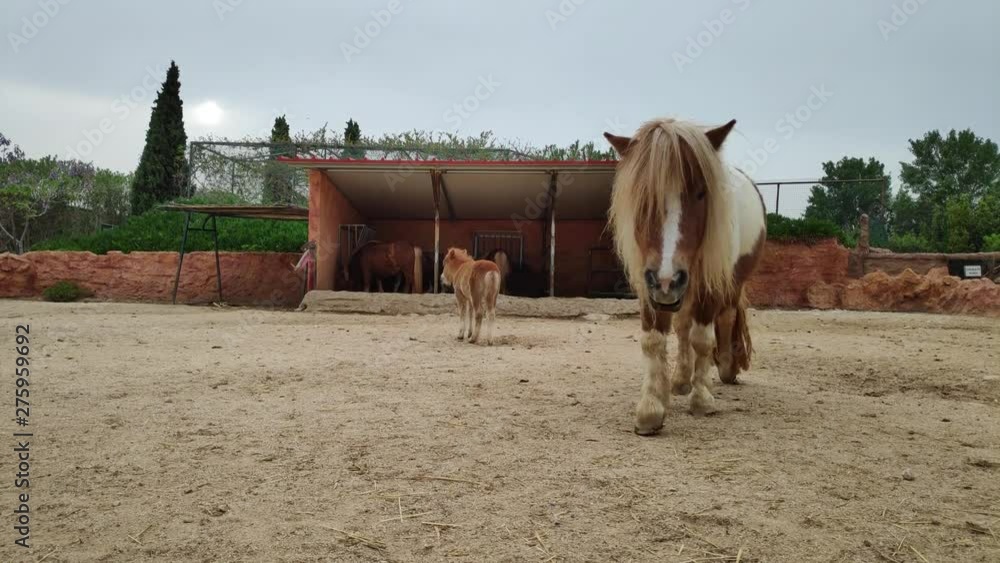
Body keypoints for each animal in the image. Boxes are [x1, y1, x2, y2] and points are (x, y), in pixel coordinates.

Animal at [604, 117, 766, 435]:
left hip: (723, 284)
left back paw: (725, 367)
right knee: (681, 328)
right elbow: (653, 340)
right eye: (643, 195)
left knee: (725, 319)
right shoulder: (651, 287)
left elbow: (703, 339)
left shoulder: (708, 286)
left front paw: (701, 399)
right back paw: (679, 381)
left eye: (701, 193)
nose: (668, 278)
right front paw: (652, 406)